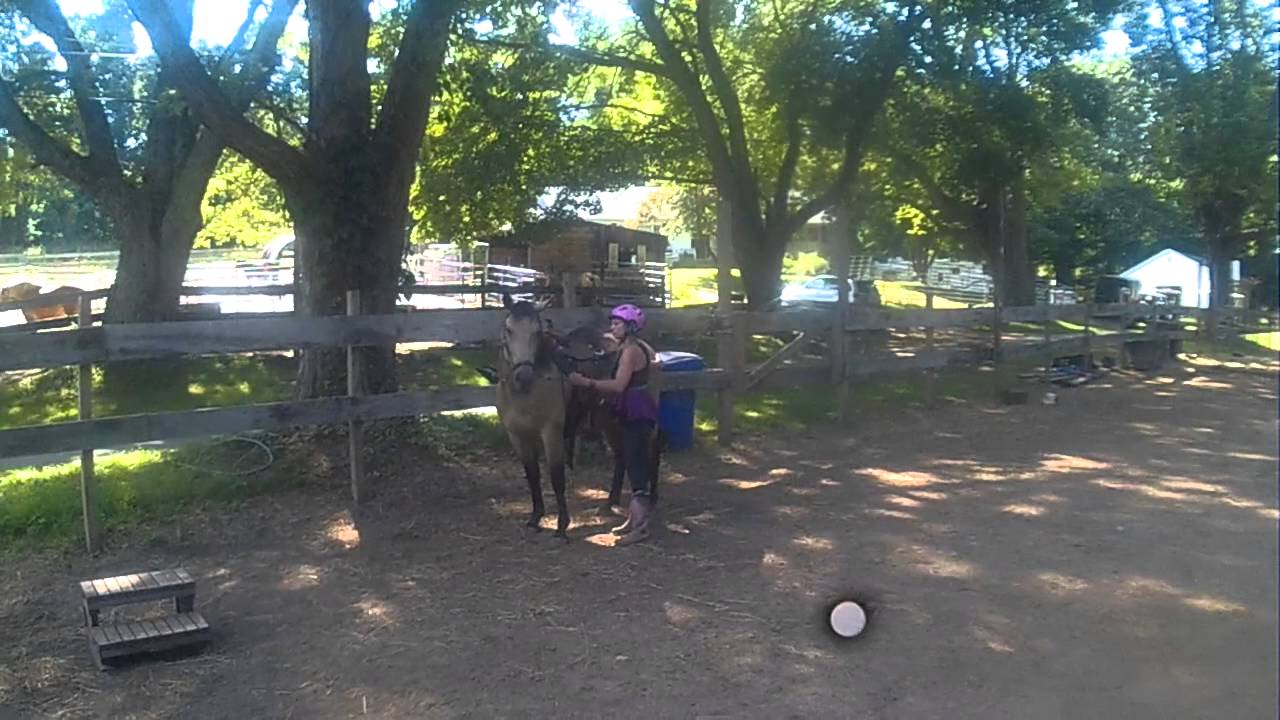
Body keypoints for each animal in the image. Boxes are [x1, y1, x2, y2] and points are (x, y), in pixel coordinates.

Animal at [494, 292, 575, 538]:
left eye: (537, 332)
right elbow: (532, 474)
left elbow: (556, 478)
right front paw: (535, 517)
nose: (524, 375)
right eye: (508, 329)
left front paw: (562, 524)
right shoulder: (518, 436)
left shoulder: (551, 434)